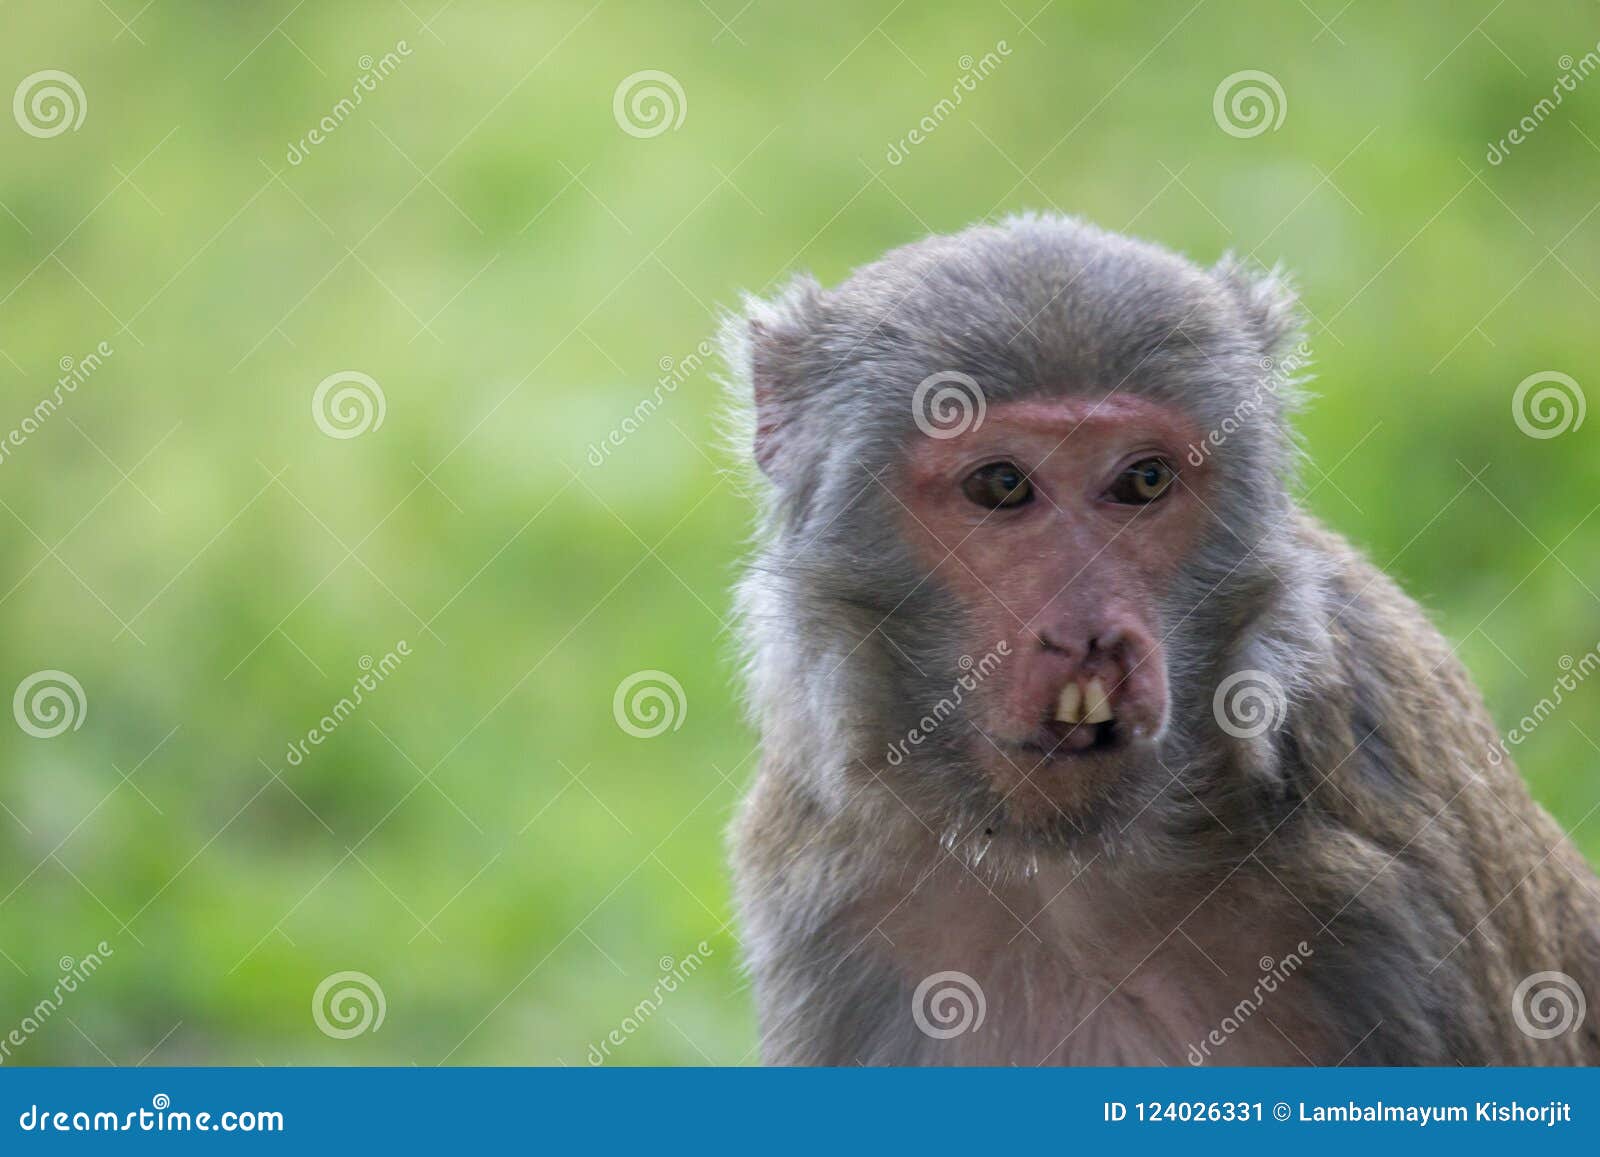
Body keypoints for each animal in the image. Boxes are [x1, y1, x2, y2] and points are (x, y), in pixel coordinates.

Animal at [722, 213, 1600, 1066]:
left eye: (1143, 480)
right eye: (1001, 484)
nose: (1089, 633)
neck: (1066, 869)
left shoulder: (1398, 890)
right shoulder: (822, 906)